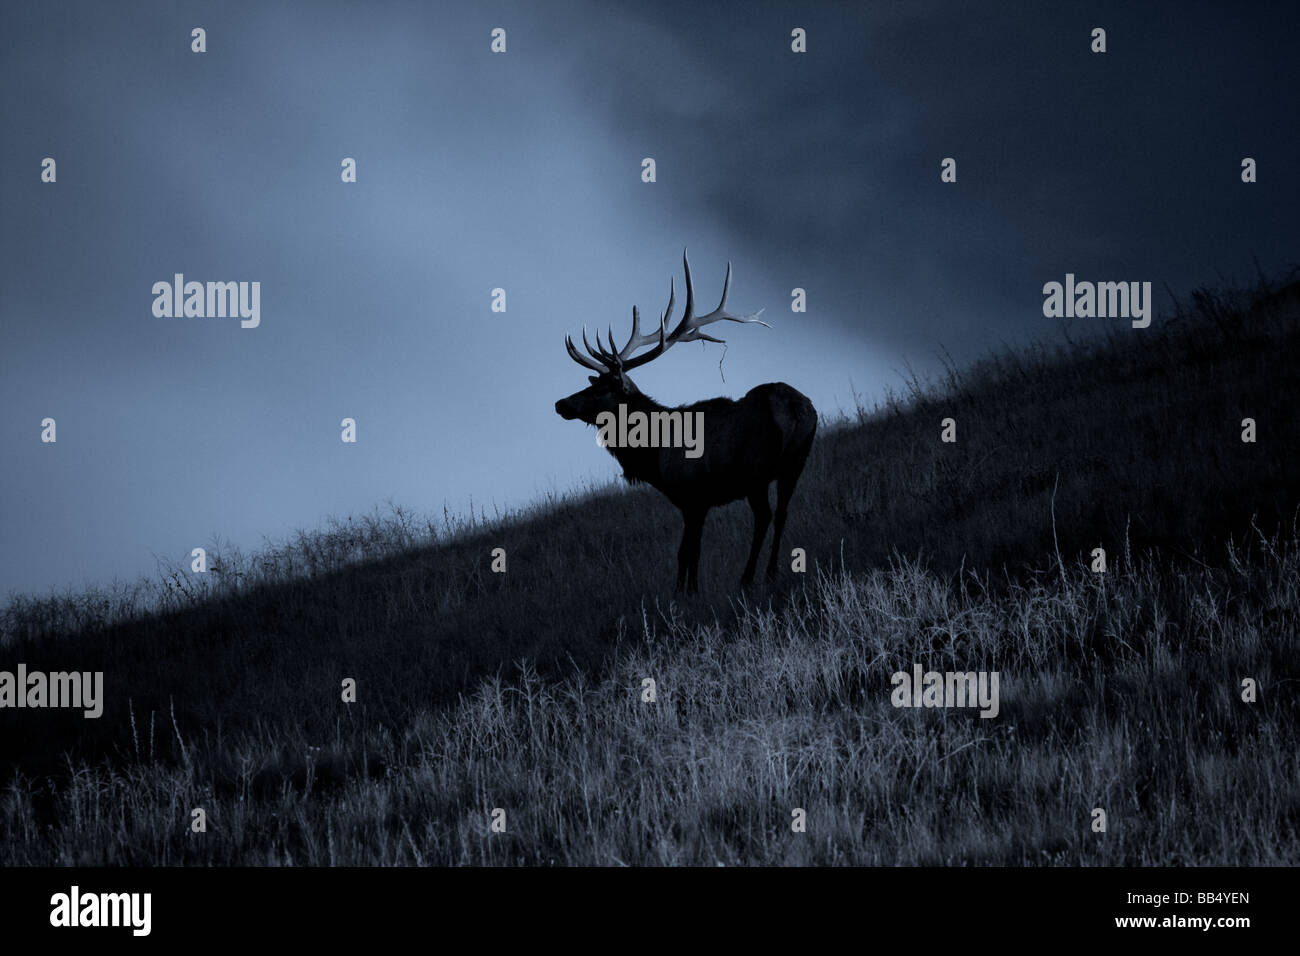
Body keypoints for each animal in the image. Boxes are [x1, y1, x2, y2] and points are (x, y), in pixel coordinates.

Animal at [555, 250, 817, 593]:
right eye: (591, 383)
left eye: (601, 389)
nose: (561, 403)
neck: (653, 457)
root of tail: (797, 409)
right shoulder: (700, 503)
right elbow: (696, 550)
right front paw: (693, 589)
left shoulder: (690, 494)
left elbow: (685, 550)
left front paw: (681, 593)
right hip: (796, 462)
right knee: (784, 511)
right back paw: (771, 572)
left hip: (756, 472)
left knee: (765, 515)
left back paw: (747, 577)